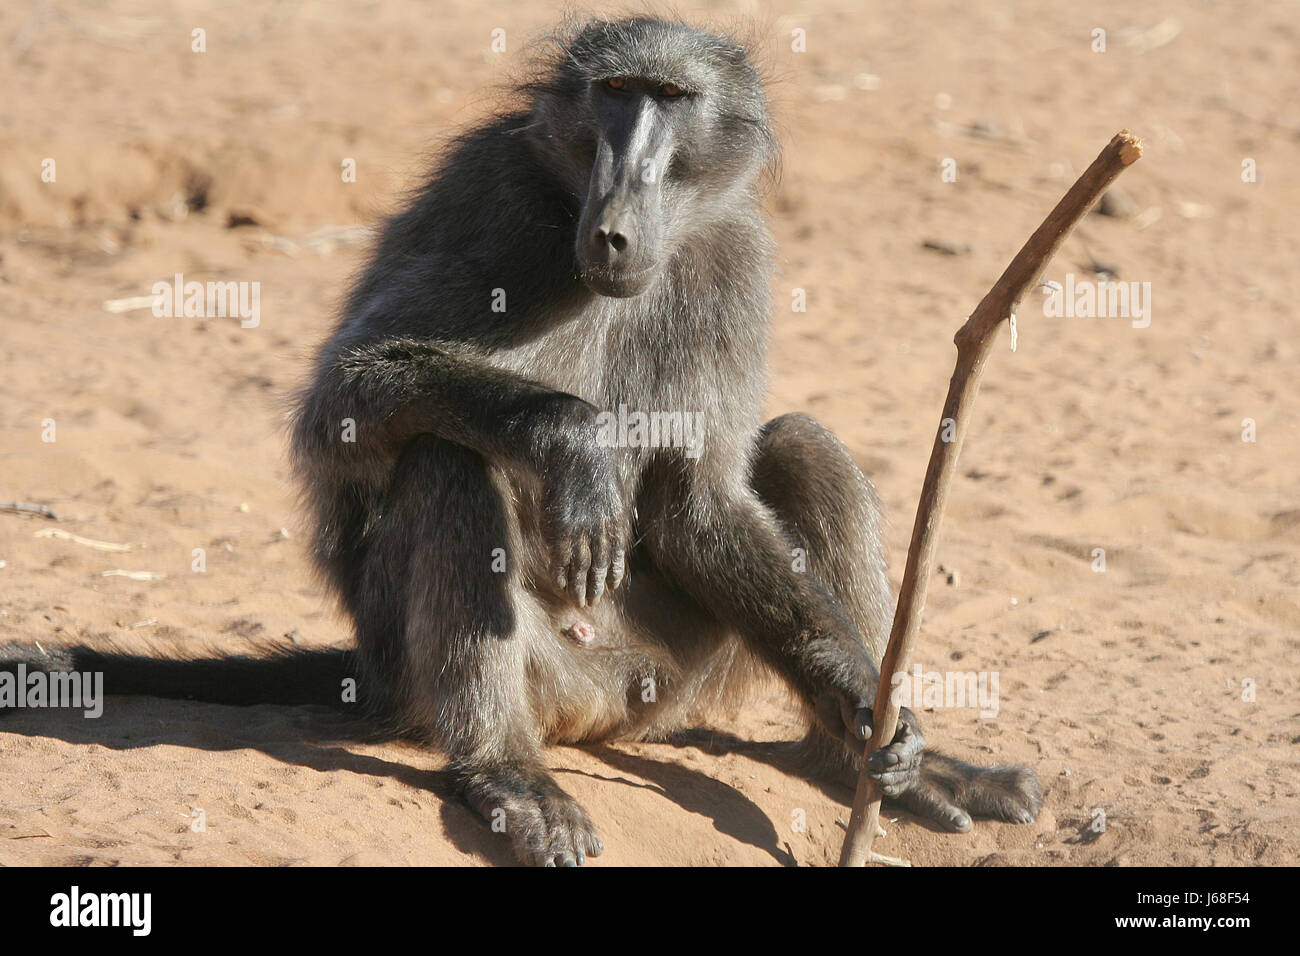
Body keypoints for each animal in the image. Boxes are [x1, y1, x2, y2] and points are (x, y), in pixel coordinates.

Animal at [1, 16, 1041, 866]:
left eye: (671, 99)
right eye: (615, 93)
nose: (616, 223)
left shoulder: (737, 253)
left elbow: (699, 501)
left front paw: (868, 703)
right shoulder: (486, 189)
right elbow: (343, 399)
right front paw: (573, 445)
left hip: (667, 674)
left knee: (799, 446)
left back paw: (869, 761)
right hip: (479, 669)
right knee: (444, 458)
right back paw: (507, 774)